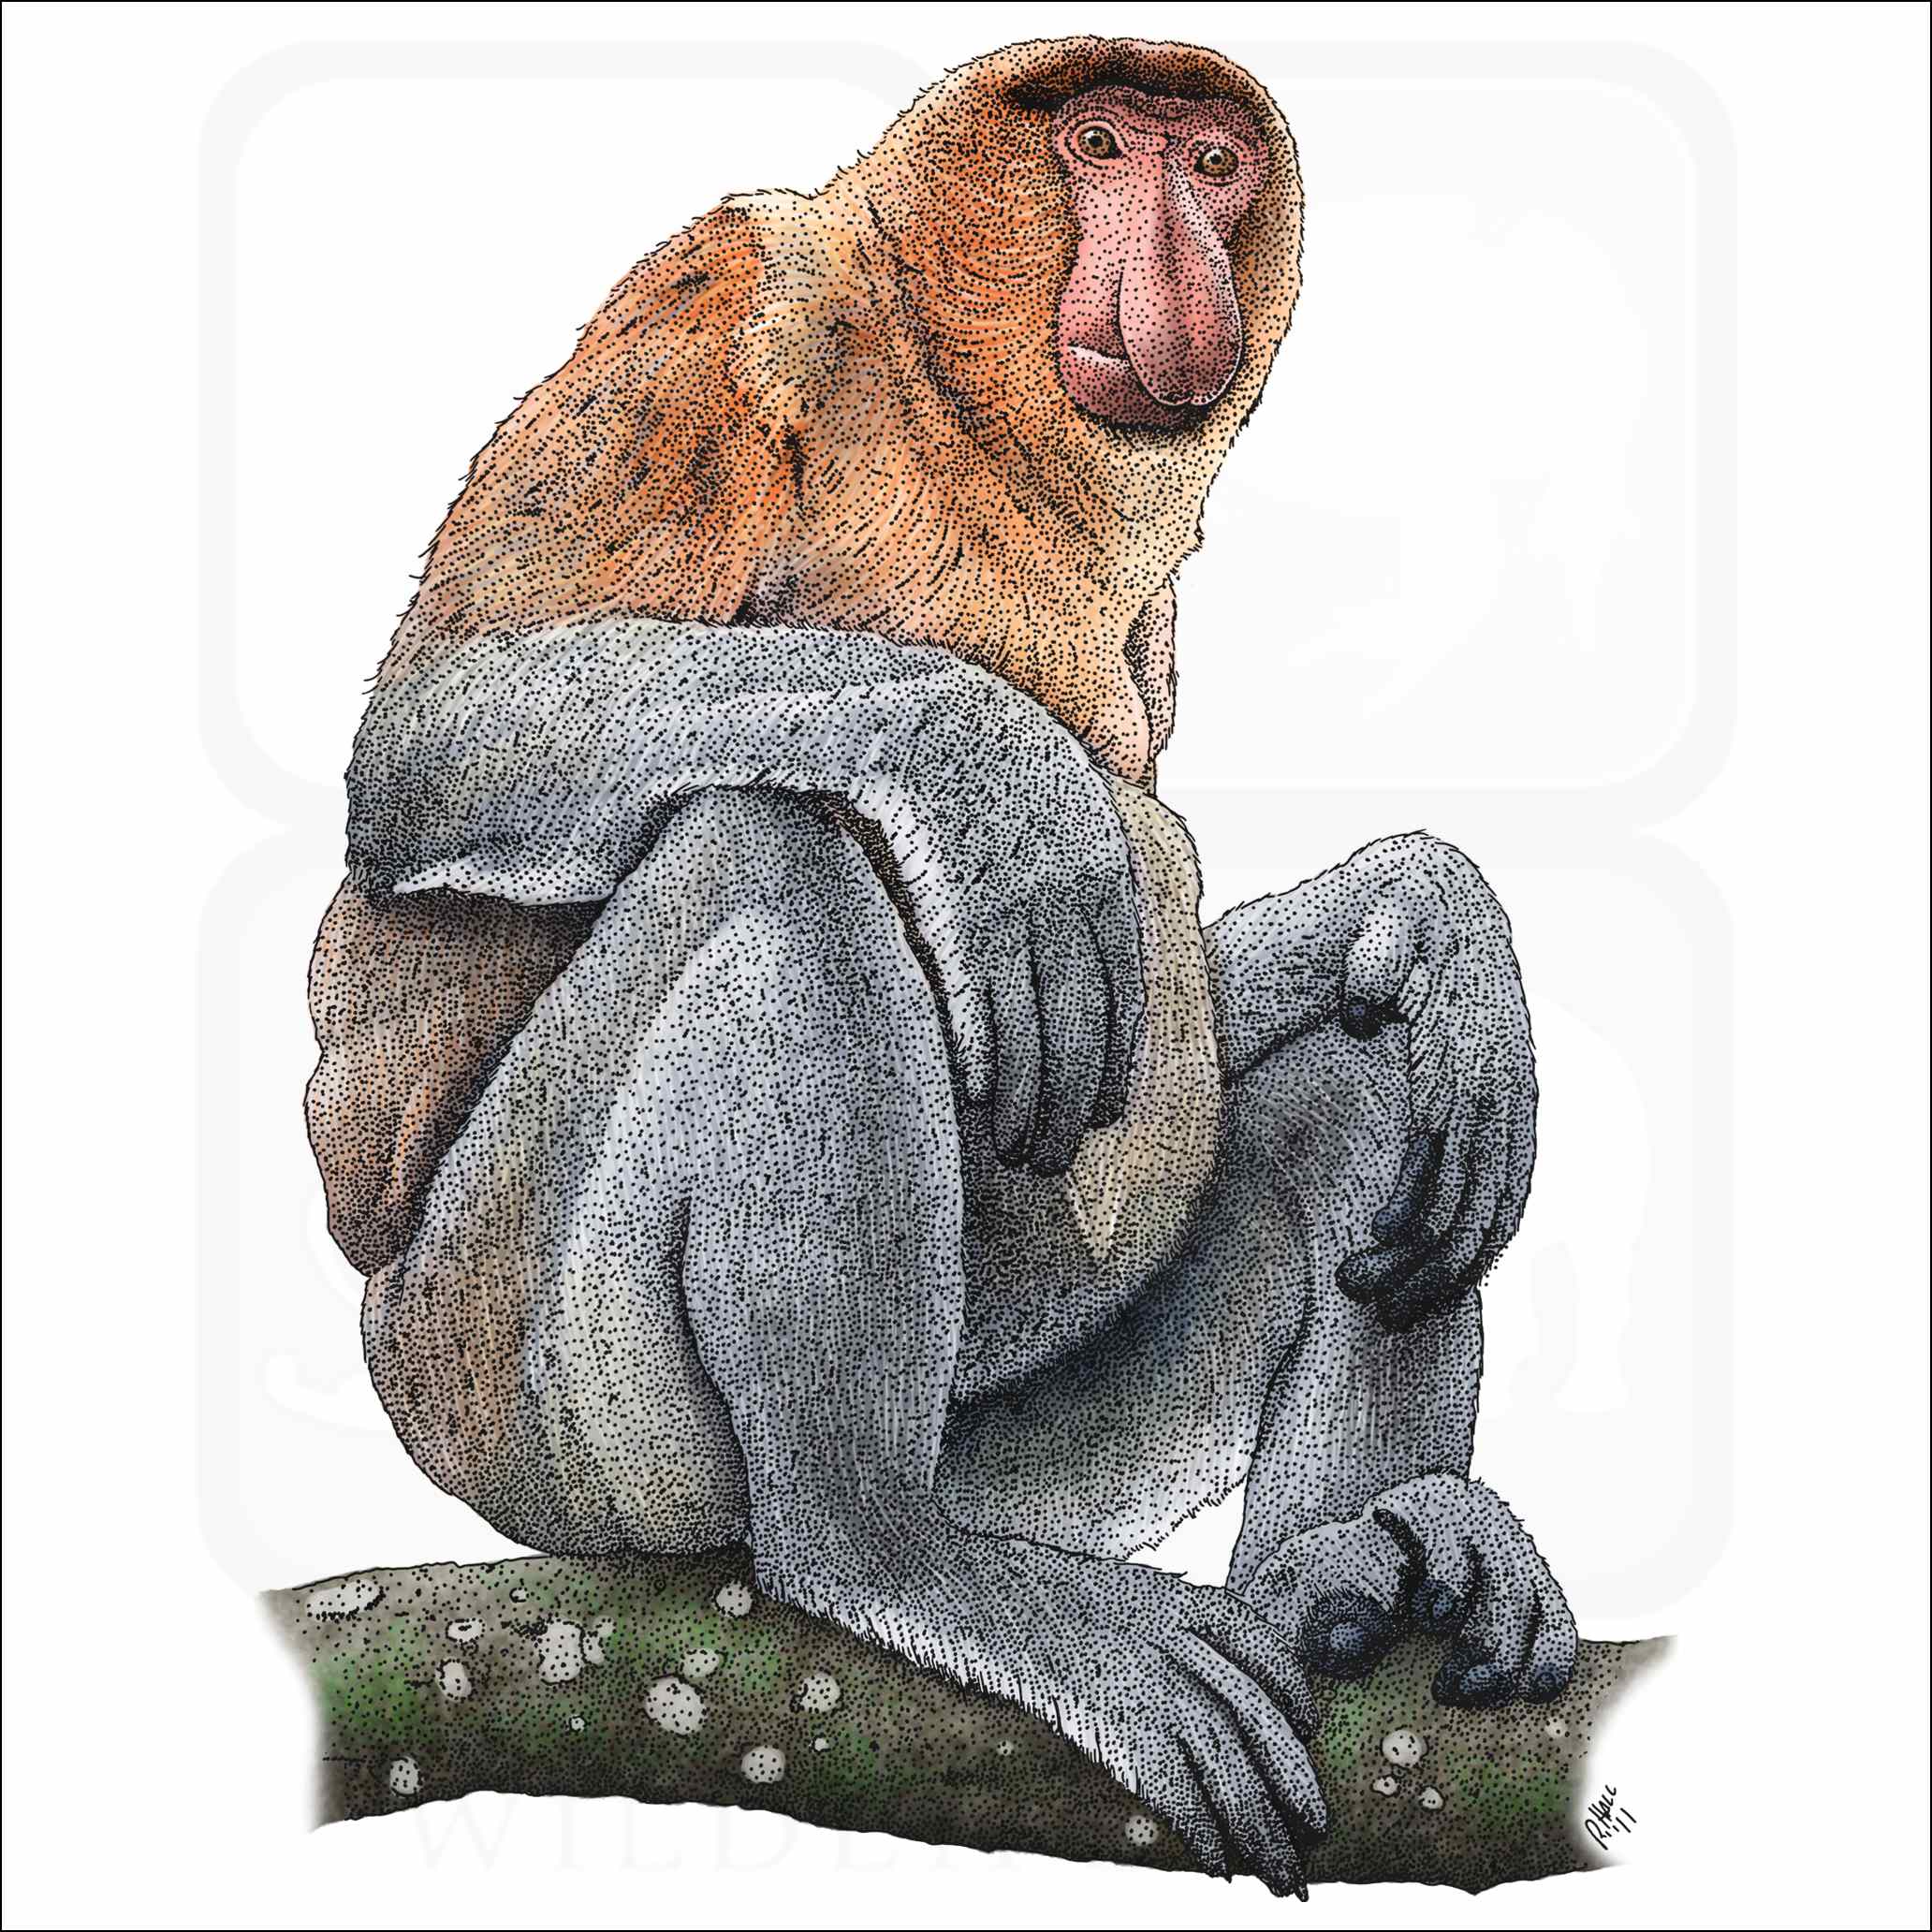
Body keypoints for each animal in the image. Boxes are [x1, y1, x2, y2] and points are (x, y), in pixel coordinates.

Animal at [308, 38, 1572, 1896]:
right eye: (1099, 145)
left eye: (1210, 165)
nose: (1176, 268)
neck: (951, 389)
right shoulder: (733, 294)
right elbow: (428, 734)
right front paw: (985, 767)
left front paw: (1422, 913)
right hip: (512, 1380)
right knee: (777, 850)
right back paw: (888, 1549)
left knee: (1378, 1086)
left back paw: (1344, 1572)